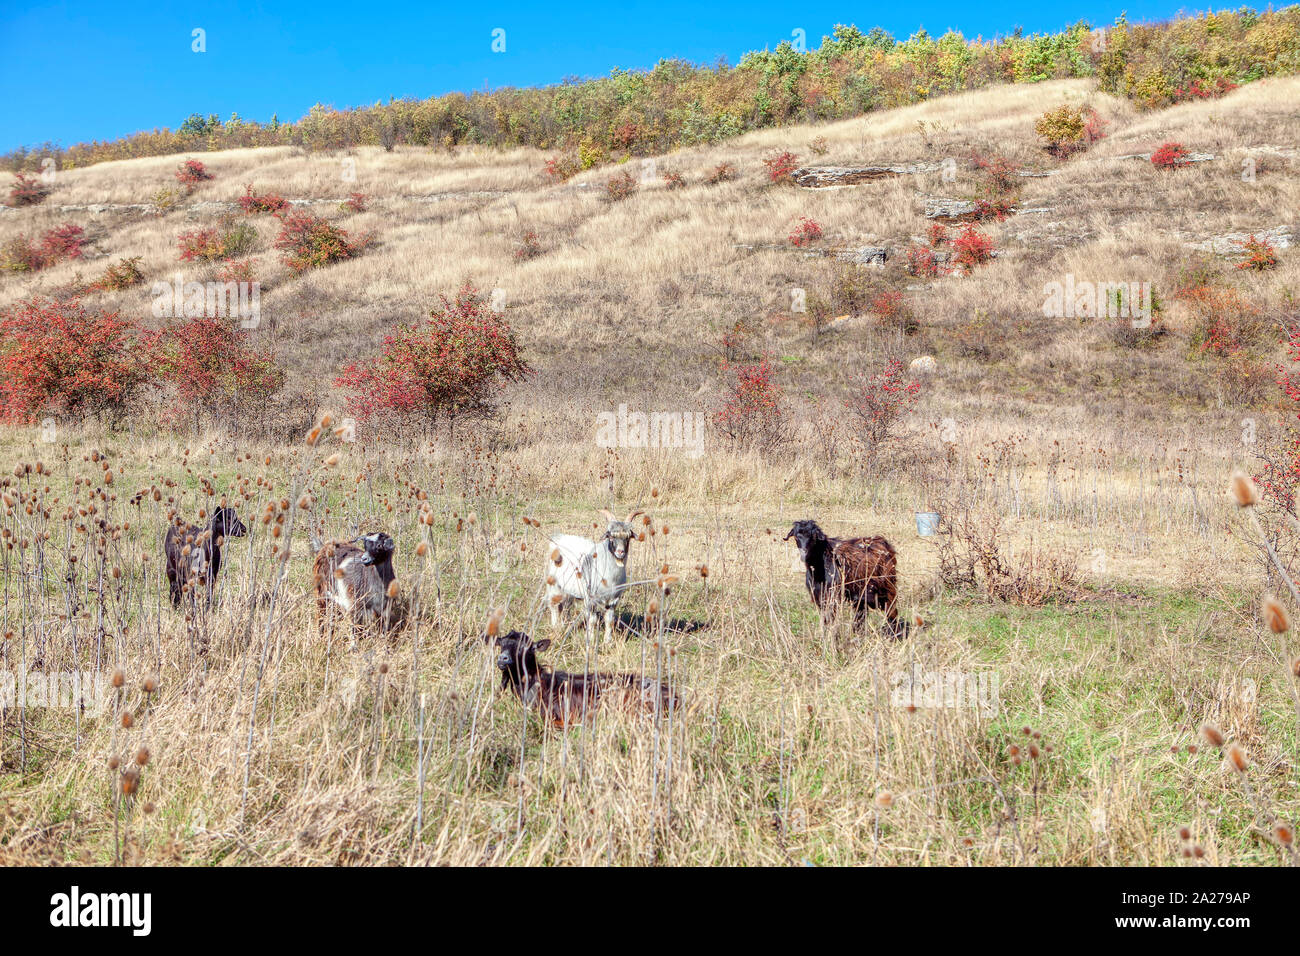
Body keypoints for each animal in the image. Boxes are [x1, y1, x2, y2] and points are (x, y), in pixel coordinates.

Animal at [544, 508, 643, 643]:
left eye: (628, 536)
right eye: (610, 535)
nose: (620, 552)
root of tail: (557, 539)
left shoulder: (613, 600)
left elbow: (609, 620)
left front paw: (607, 642)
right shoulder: (590, 598)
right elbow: (592, 620)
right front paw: (590, 640)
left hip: (568, 590)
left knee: (565, 607)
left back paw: (565, 625)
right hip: (554, 585)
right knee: (554, 606)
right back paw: (556, 628)